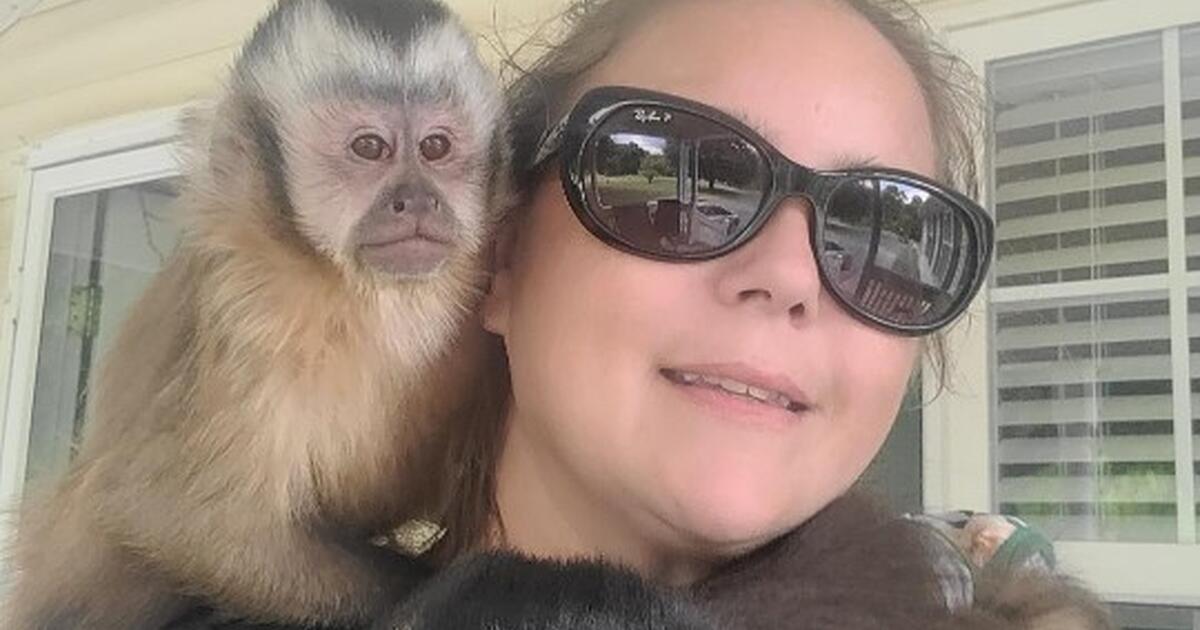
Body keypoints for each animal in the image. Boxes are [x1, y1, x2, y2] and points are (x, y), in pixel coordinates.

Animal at [3, 0, 508, 628]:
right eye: (370, 148)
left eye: (436, 148)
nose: (417, 199)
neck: (361, 293)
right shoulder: (251, 307)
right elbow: (169, 511)